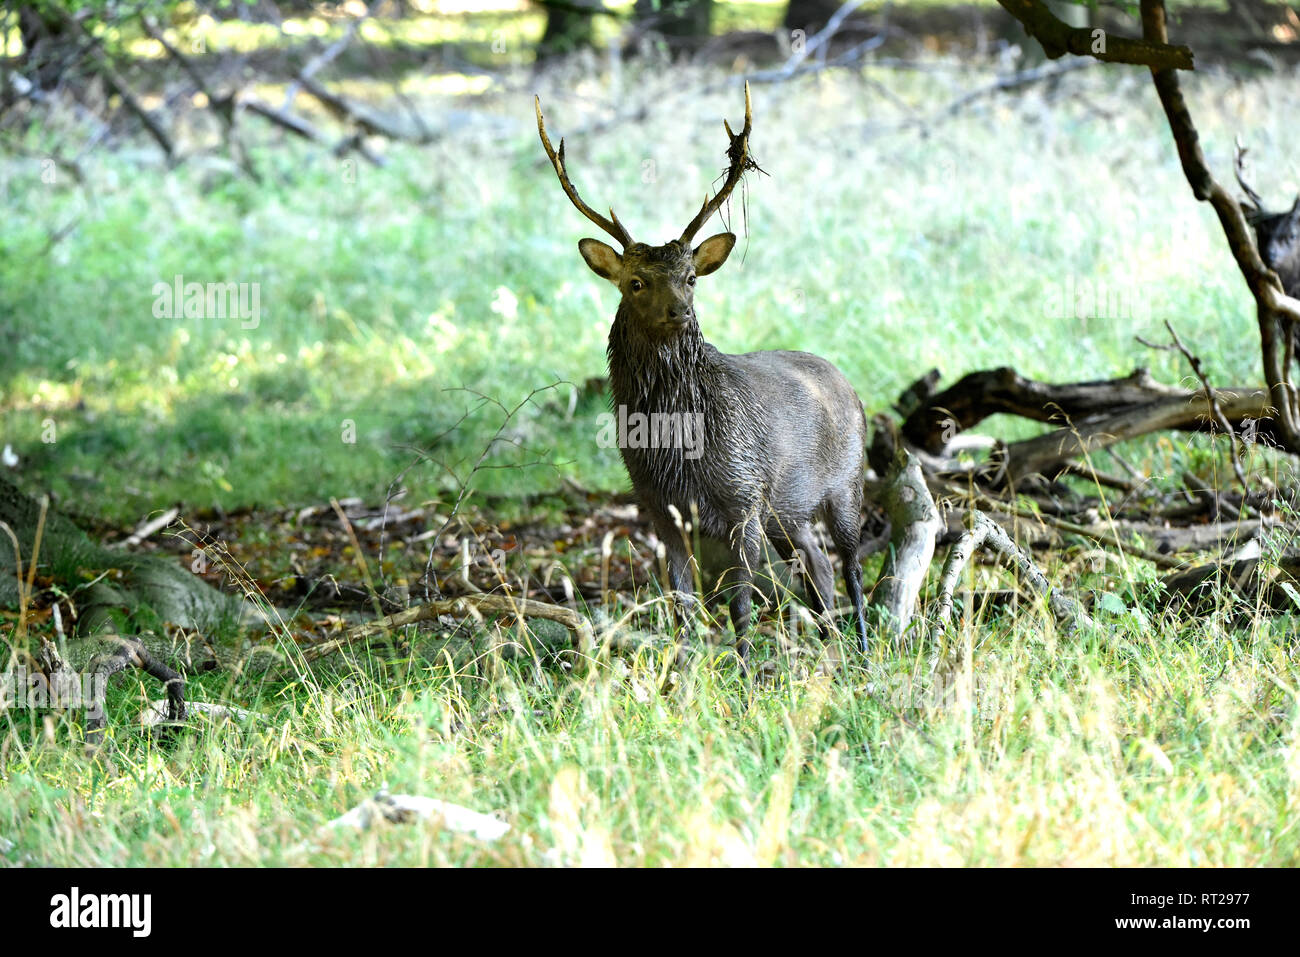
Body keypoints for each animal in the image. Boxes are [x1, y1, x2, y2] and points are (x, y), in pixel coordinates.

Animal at [535, 84, 870, 664]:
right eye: (636, 282)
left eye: (691, 277)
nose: (680, 312)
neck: (679, 449)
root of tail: (846, 382)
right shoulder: (659, 508)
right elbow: (682, 606)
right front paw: (684, 667)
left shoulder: (744, 497)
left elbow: (739, 603)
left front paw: (745, 666)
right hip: (789, 510)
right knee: (816, 565)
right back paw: (830, 641)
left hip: (846, 480)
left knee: (850, 563)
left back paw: (869, 648)